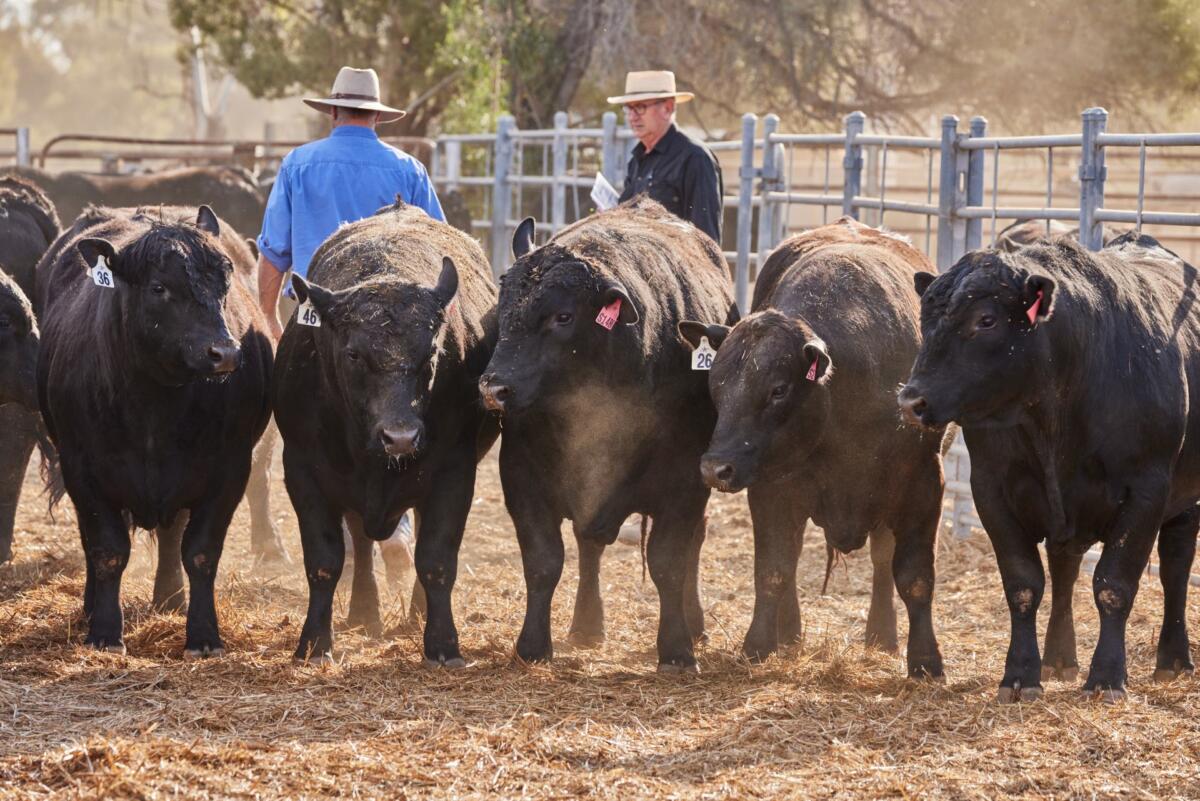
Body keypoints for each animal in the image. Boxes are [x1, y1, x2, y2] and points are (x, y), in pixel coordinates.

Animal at [36, 205, 272, 656]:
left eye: (224, 280)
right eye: (159, 287)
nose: (224, 353)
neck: (153, 407)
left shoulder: (228, 470)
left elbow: (199, 551)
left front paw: (203, 635)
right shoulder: (81, 469)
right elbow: (107, 550)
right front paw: (105, 631)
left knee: (171, 534)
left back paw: (170, 598)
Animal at [273, 201, 499, 666]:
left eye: (431, 352)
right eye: (354, 354)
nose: (400, 438)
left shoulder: (454, 474)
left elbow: (436, 560)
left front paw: (443, 644)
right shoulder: (302, 471)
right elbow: (324, 561)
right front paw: (314, 643)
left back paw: (416, 613)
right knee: (361, 545)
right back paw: (364, 610)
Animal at [478, 197, 736, 673]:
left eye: (562, 316)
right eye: (501, 311)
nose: (493, 388)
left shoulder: (686, 485)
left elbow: (669, 562)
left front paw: (677, 650)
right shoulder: (522, 478)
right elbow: (544, 561)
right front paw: (532, 646)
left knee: (693, 543)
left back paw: (694, 624)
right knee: (588, 545)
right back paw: (587, 624)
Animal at [679, 218, 948, 678]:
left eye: (778, 390)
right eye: (716, 383)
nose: (716, 468)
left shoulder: (925, 484)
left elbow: (914, 577)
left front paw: (926, 660)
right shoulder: (771, 487)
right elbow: (774, 568)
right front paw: (757, 646)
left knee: (882, 561)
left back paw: (882, 634)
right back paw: (789, 632)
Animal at [898, 233, 1200, 701]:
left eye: (986, 319)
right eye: (924, 319)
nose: (912, 400)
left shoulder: (1147, 491)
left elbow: (1114, 585)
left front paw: (1107, 677)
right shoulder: (992, 490)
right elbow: (1024, 584)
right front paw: (1021, 674)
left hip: (1184, 502)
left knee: (1175, 569)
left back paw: (1172, 659)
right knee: (1064, 567)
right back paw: (1059, 658)